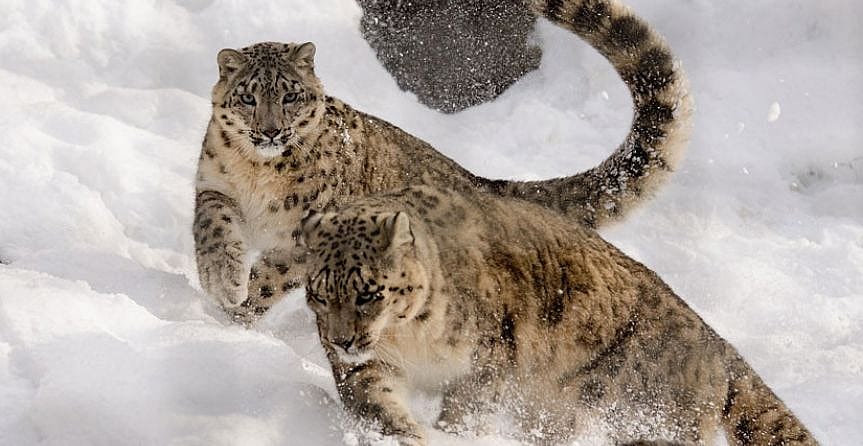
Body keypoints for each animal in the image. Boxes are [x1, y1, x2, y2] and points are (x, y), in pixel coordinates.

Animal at [194, 0, 694, 323]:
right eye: (248, 97)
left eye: (291, 96)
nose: (270, 131)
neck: (260, 175)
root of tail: (482, 181)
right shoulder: (215, 184)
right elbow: (212, 228)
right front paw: (222, 280)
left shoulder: (308, 233)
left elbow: (271, 277)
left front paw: (235, 311)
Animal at [297, 184, 817, 446]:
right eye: (318, 294)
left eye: (369, 293)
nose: (343, 340)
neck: (410, 341)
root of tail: (716, 343)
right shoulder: (367, 367)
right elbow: (376, 402)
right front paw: (407, 434)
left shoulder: (487, 360)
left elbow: (468, 408)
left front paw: (451, 436)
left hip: (647, 420)